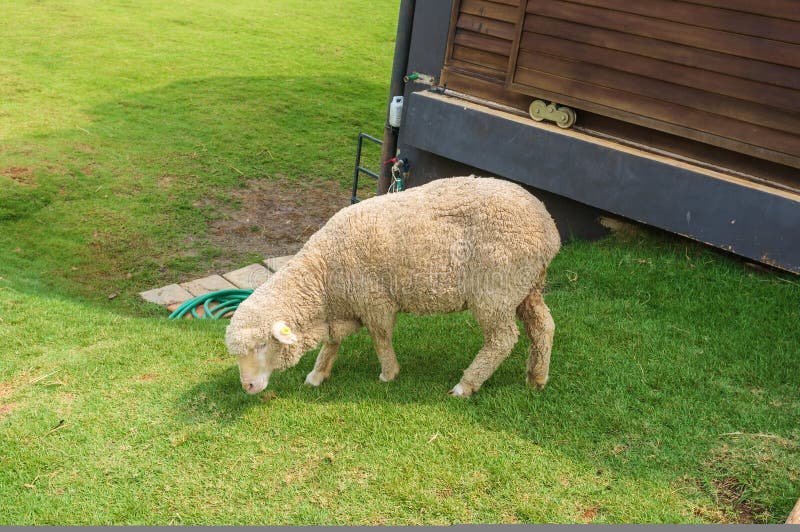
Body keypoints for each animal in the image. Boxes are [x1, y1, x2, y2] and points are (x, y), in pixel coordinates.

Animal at [226, 175, 561, 397]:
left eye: (262, 345)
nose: (247, 386)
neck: (322, 277)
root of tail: (549, 226)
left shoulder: (374, 301)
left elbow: (381, 338)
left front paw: (388, 374)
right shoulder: (344, 305)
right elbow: (332, 342)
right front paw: (318, 374)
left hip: (495, 289)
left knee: (502, 339)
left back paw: (466, 384)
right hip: (525, 287)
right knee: (543, 326)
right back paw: (537, 377)